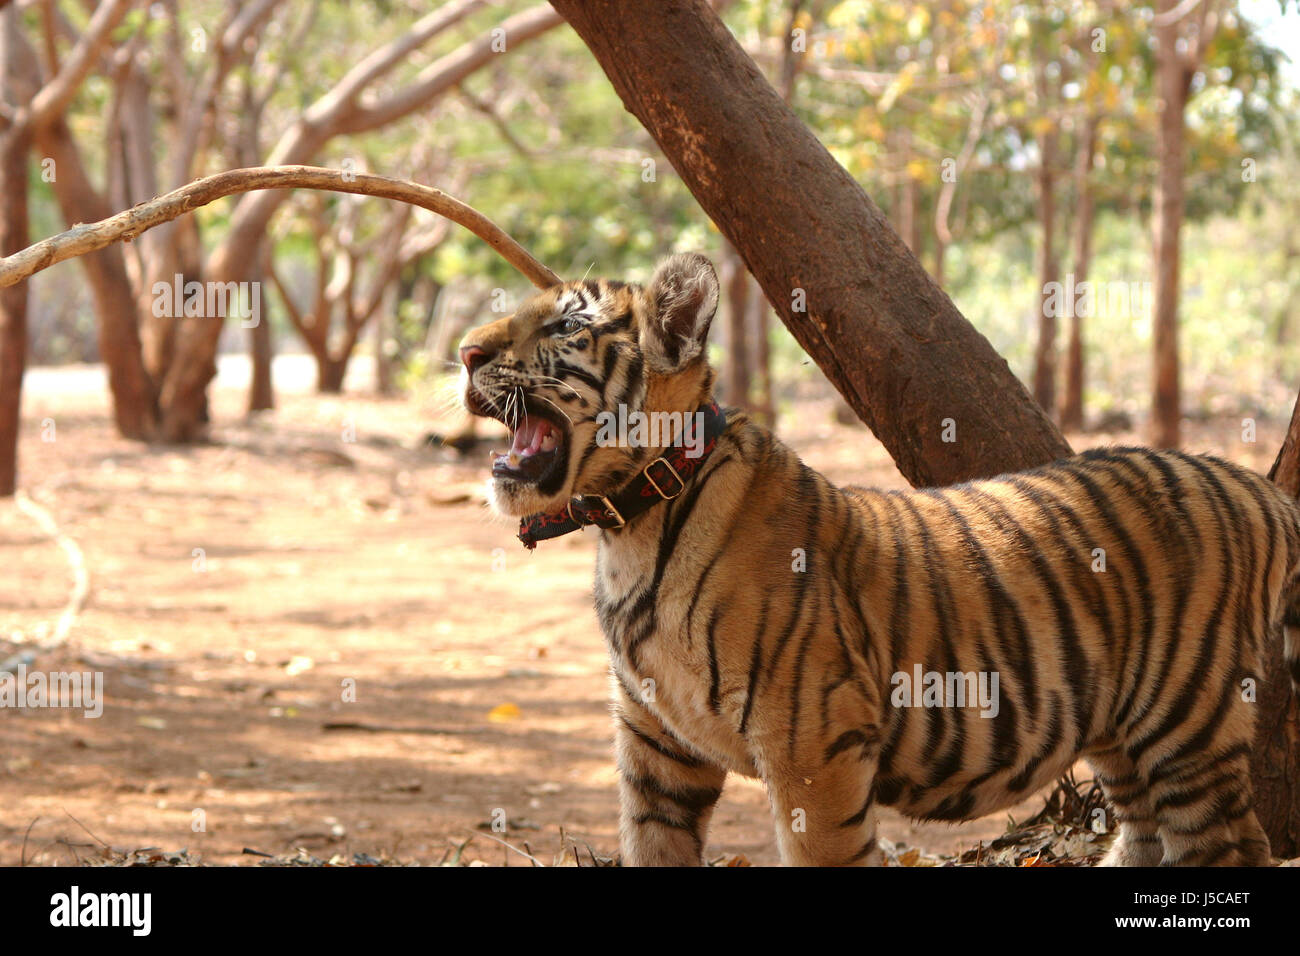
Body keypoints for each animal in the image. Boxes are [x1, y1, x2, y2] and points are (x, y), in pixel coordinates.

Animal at [458, 252, 1300, 867]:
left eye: (566, 323)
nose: (464, 352)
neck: (627, 527)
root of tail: (1253, 483)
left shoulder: (812, 750)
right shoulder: (655, 751)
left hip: (1186, 725)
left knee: (1229, 846)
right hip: (1125, 737)